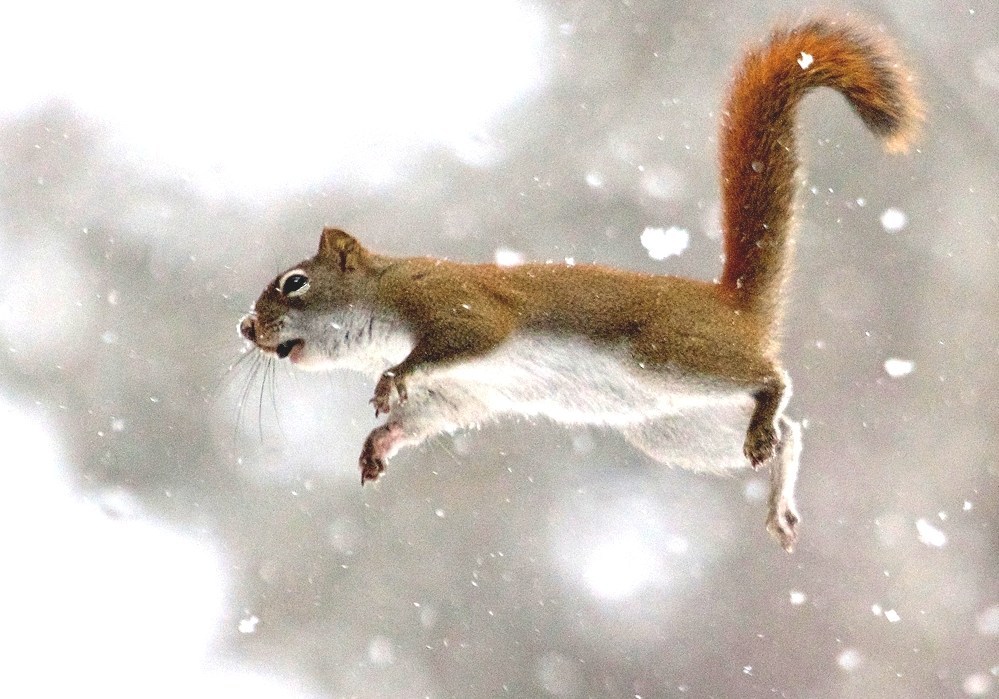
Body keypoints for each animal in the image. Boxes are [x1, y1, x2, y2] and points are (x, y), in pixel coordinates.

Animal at [239, 19, 921, 552]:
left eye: (294, 283)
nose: (246, 326)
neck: (379, 314)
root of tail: (734, 304)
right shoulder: (463, 394)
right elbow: (432, 417)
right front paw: (378, 444)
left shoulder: (454, 305)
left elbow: (457, 340)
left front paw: (391, 381)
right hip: (675, 428)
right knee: (790, 434)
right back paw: (778, 493)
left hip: (669, 355)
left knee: (772, 380)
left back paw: (770, 411)